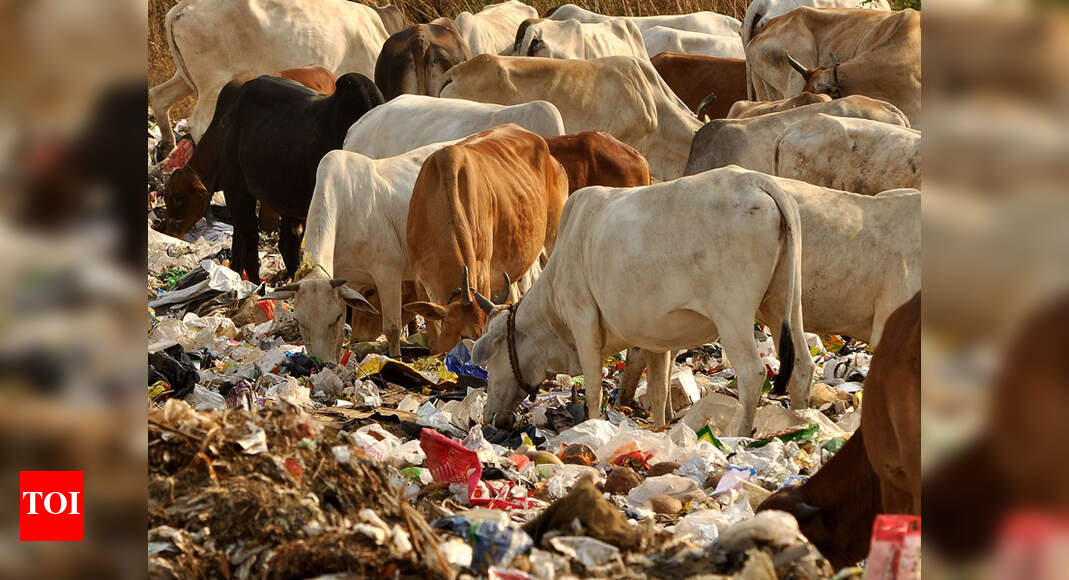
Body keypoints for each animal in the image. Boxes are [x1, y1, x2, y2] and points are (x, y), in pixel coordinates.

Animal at [148, 0, 387, 160]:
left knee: (159, 97)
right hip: (213, 82)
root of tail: (182, 8)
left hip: (185, 78)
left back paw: (165, 148)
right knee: (200, 123)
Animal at [262, 140, 459, 361]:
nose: (320, 363)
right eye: (298, 321)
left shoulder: (388, 273)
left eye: (336, 317)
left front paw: (395, 361)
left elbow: (392, 328)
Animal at [470, 166, 813, 435]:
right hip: (784, 304)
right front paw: (660, 429)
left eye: (490, 361)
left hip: (733, 315)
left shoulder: (583, 320)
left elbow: (593, 389)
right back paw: (800, 422)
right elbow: (659, 391)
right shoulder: (657, 340)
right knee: (802, 365)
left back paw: (741, 434)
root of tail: (755, 180)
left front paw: (594, 427)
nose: (489, 417)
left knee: (752, 373)